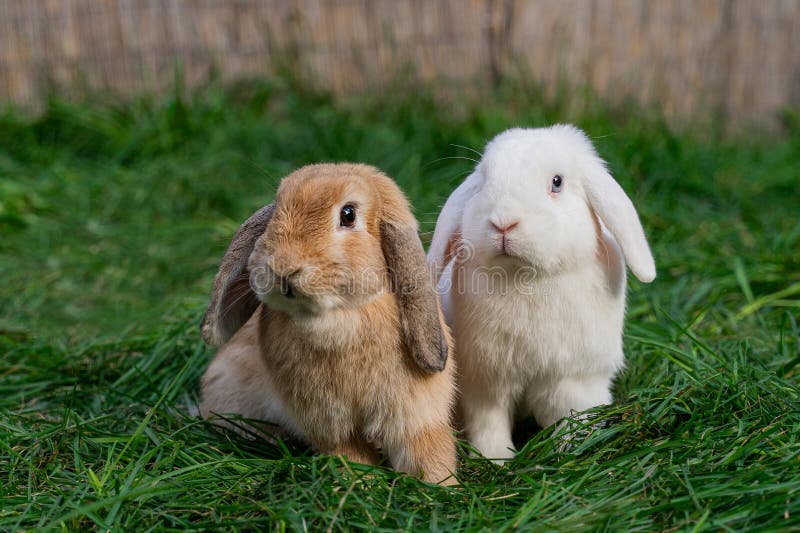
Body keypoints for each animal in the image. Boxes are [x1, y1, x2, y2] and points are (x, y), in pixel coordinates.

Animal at [199, 163, 458, 485]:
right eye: (277, 209)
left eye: (348, 214)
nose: (283, 269)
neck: (336, 315)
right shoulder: (330, 423)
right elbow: (349, 452)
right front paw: (359, 483)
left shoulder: (414, 413)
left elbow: (426, 449)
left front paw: (441, 486)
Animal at [428, 125, 655, 462]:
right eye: (483, 181)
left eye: (557, 182)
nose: (503, 223)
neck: (525, 277)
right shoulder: (485, 382)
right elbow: (489, 423)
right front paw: (496, 461)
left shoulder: (573, 380)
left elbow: (572, 420)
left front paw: (569, 455)